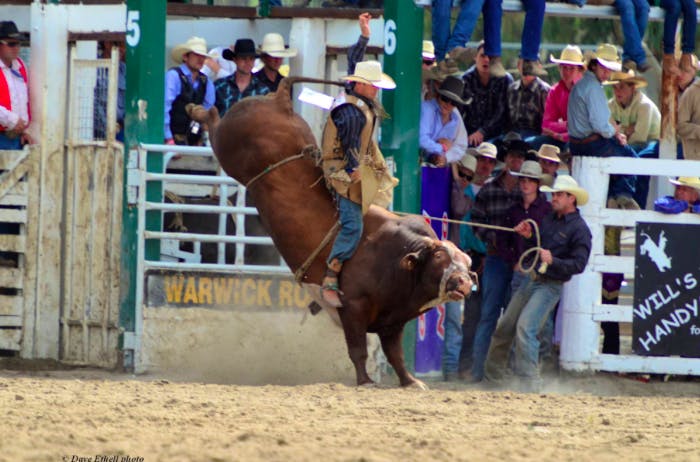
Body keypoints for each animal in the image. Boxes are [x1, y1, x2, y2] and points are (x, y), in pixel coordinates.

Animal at [189, 78, 475, 388]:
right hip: (228, 145)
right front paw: (365, 381)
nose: (463, 282)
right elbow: (358, 349)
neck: (395, 256)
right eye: (439, 258)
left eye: (467, 263)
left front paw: (411, 382)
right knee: (214, 121)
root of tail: (281, 99)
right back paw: (197, 110)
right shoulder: (353, 308)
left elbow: (395, 355)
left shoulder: (393, 322)